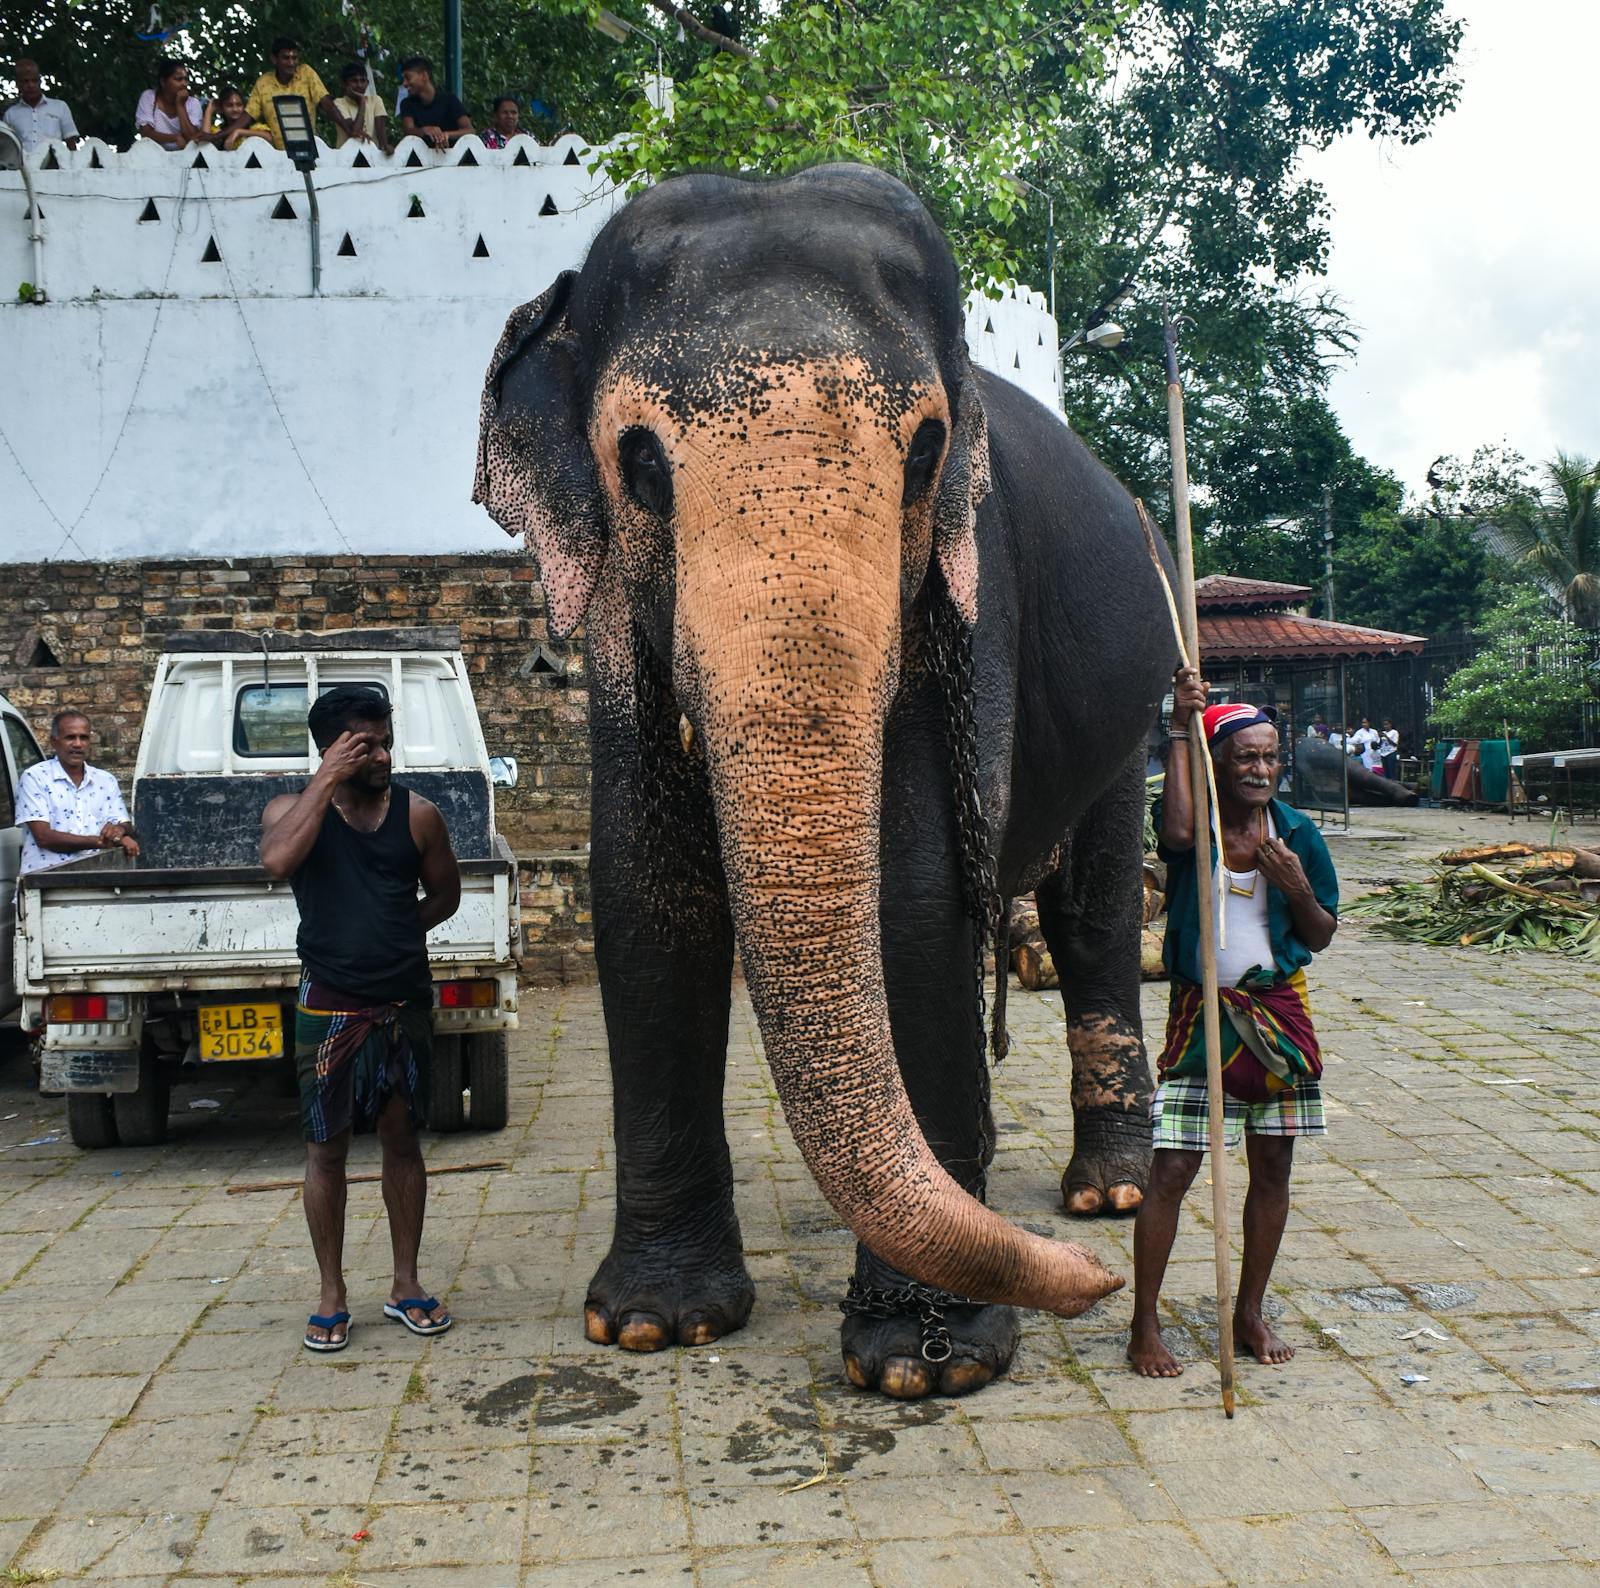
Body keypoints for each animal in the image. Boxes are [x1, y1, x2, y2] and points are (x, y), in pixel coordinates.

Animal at [474, 163, 1178, 1399]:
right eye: (639, 463)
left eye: (925, 451)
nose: (1093, 1283)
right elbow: (643, 888)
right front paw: (653, 1321)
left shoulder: (971, 593)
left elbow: (915, 892)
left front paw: (928, 1360)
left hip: (1127, 709)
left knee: (1092, 914)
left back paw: (1107, 1192)